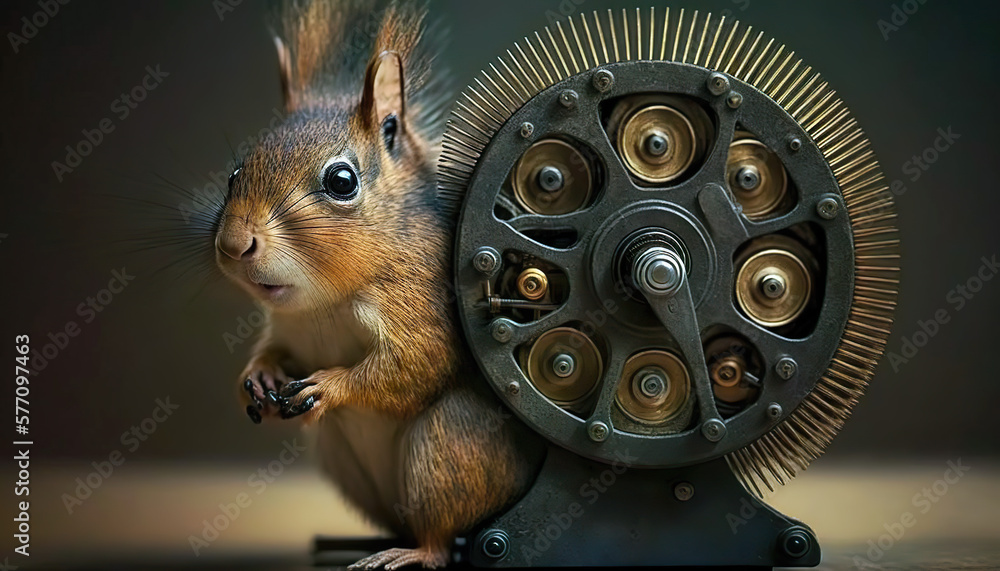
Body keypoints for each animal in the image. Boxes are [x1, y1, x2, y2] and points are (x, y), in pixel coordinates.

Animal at [211, 0, 543, 568]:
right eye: (236, 174)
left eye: (342, 182)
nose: (234, 244)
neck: (323, 303)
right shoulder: (286, 327)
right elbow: (273, 350)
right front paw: (257, 376)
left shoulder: (424, 301)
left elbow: (414, 366)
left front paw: (331, 385)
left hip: (449, 450)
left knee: (441, 537)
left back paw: (410, 551)